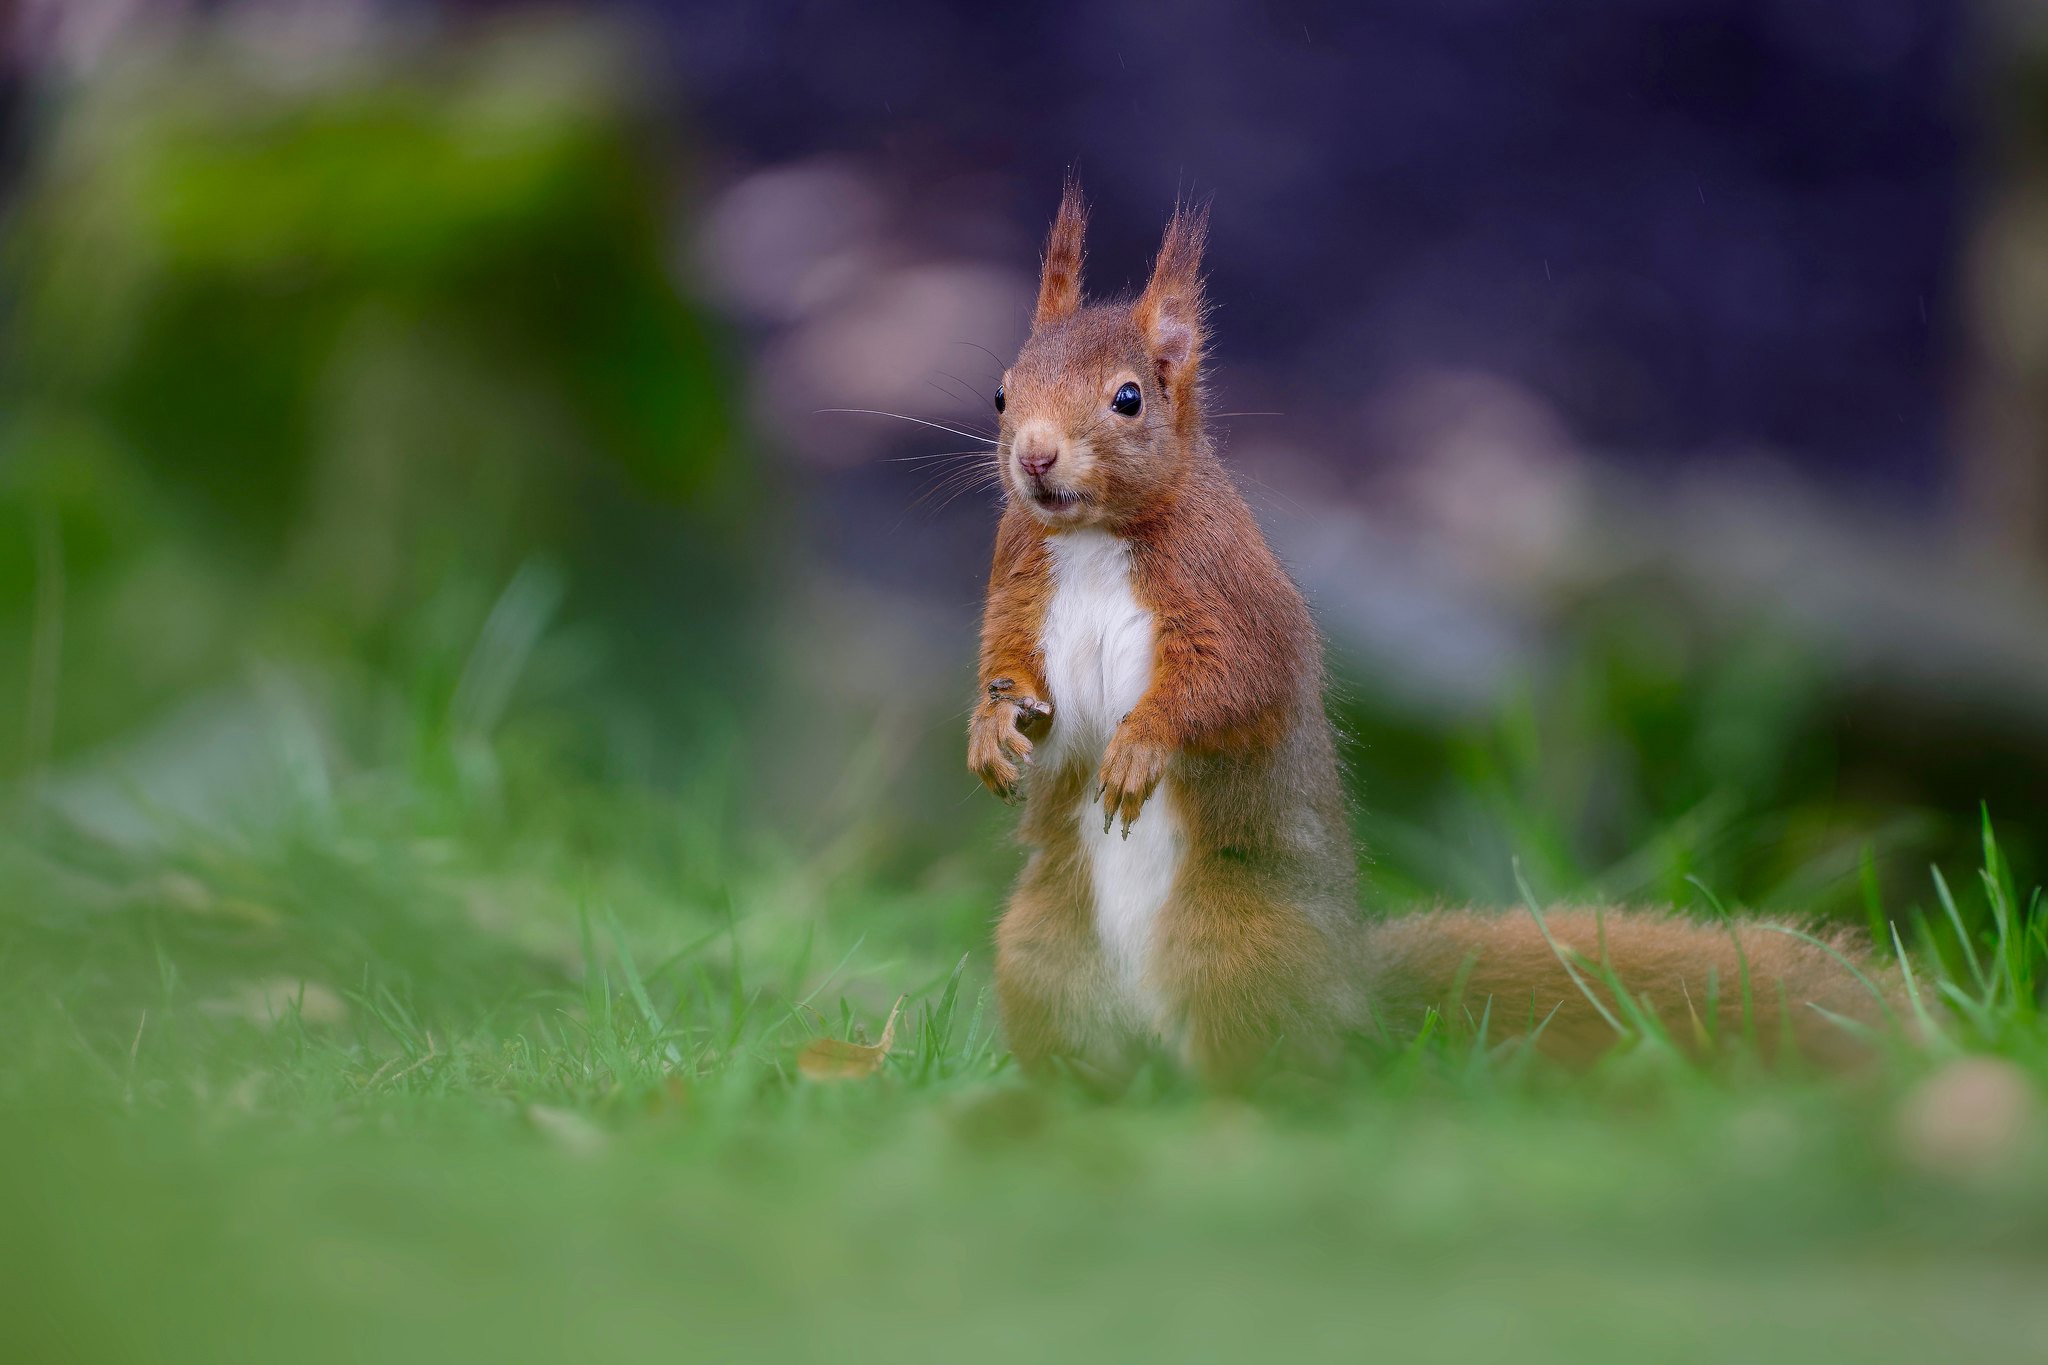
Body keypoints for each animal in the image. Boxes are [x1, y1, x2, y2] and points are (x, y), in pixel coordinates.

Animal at [968, 182, 1893, 1088]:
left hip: (1239, 952)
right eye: (1003, 392)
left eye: (1127, 398)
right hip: (1040, 955)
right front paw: (990, 729)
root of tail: (1353, 991)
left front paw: (1140, 745)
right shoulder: (1019, 585)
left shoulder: (1227, 590)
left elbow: (1233, 683)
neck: (1093, 538)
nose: (1036, 458)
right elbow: (1008, 668)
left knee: (1276, 1077)